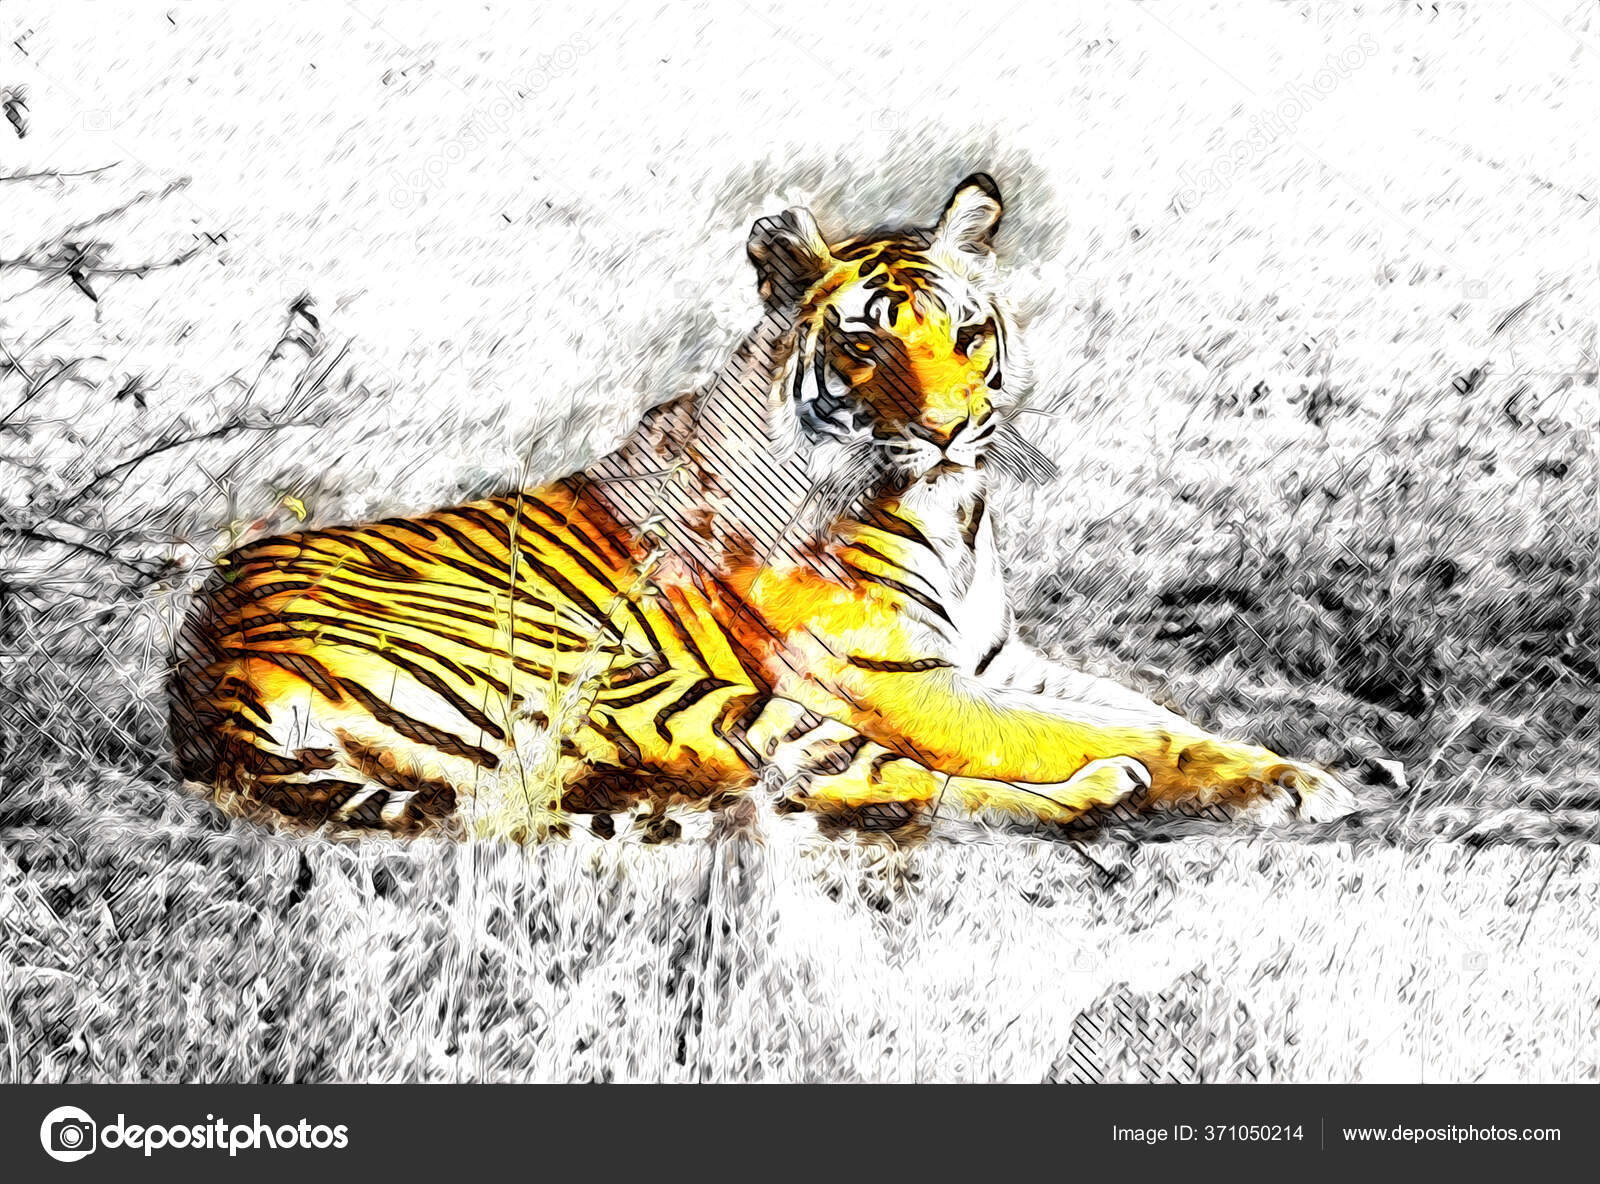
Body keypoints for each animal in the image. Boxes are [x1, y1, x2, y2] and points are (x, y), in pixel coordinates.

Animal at [167, 172, 1355, 841]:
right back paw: (1103, 791)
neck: (956, 516)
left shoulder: (994, 659)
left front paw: (1289, 769)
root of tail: (212, 676)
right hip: (679, 694)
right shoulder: (914, 688)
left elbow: (1156, 710)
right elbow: (1097, 732)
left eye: (968, 333)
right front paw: (1299, 785)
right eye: (867, 344)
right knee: (900, 785)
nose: (947, 430)